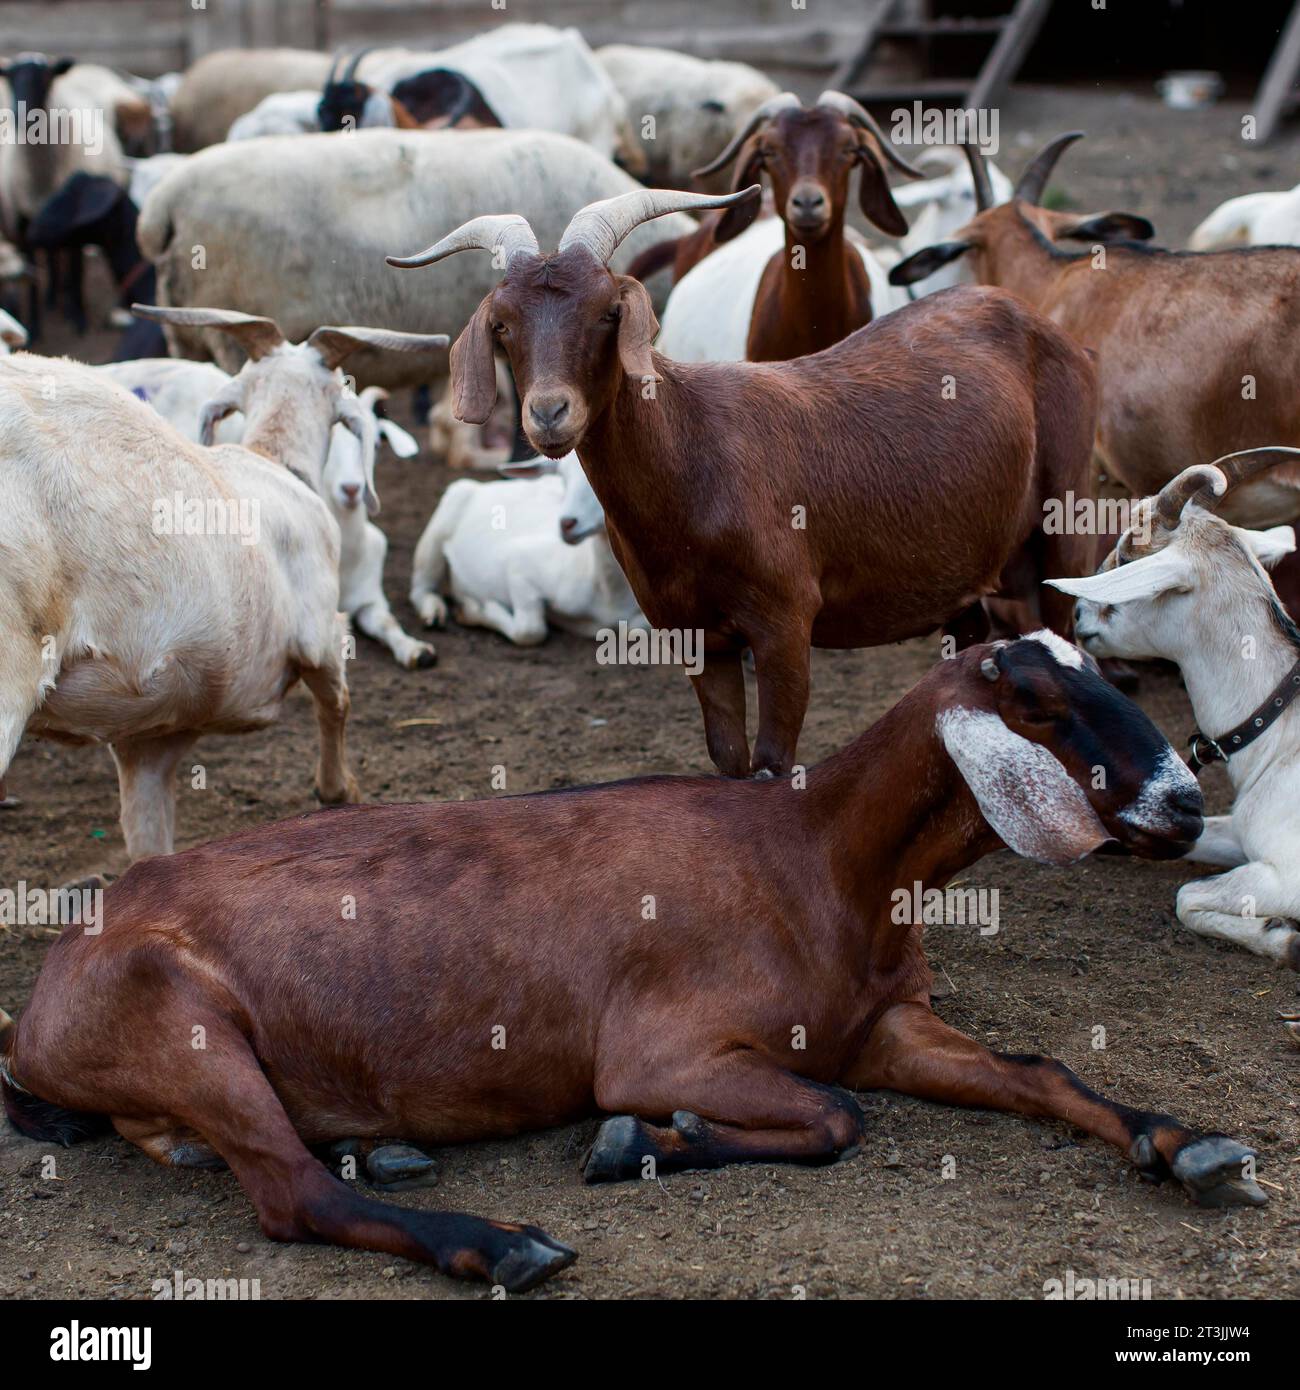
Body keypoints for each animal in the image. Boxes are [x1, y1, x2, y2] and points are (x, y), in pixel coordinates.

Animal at [5, 634, 1268, 1299]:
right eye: (1042, 702)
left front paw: (1191, 1146)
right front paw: (636, 1143)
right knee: (288, 1195)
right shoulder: (664, 1047)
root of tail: (46, 995)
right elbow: (836, 1116)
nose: (1182, 801)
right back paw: (499, 1241)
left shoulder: (887, 1025)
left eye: (1110, 674)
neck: (816, 857)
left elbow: (1038, 1071)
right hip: (176, 1020)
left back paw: (385, 1145)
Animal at [410, 452, 645, 644]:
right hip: (437, 530)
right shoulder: (520, 563)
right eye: (563, 477)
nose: (566, 523)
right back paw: (434, 613)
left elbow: (634, 630)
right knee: (420, 588)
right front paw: (473, 609)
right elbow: (530, 631)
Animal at [1048, 449, 1300, 979]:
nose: (1079, 616)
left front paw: (1287, 939)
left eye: (1126, 558)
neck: (1281, 737)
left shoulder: (1285, 876)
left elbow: (1186, 898)